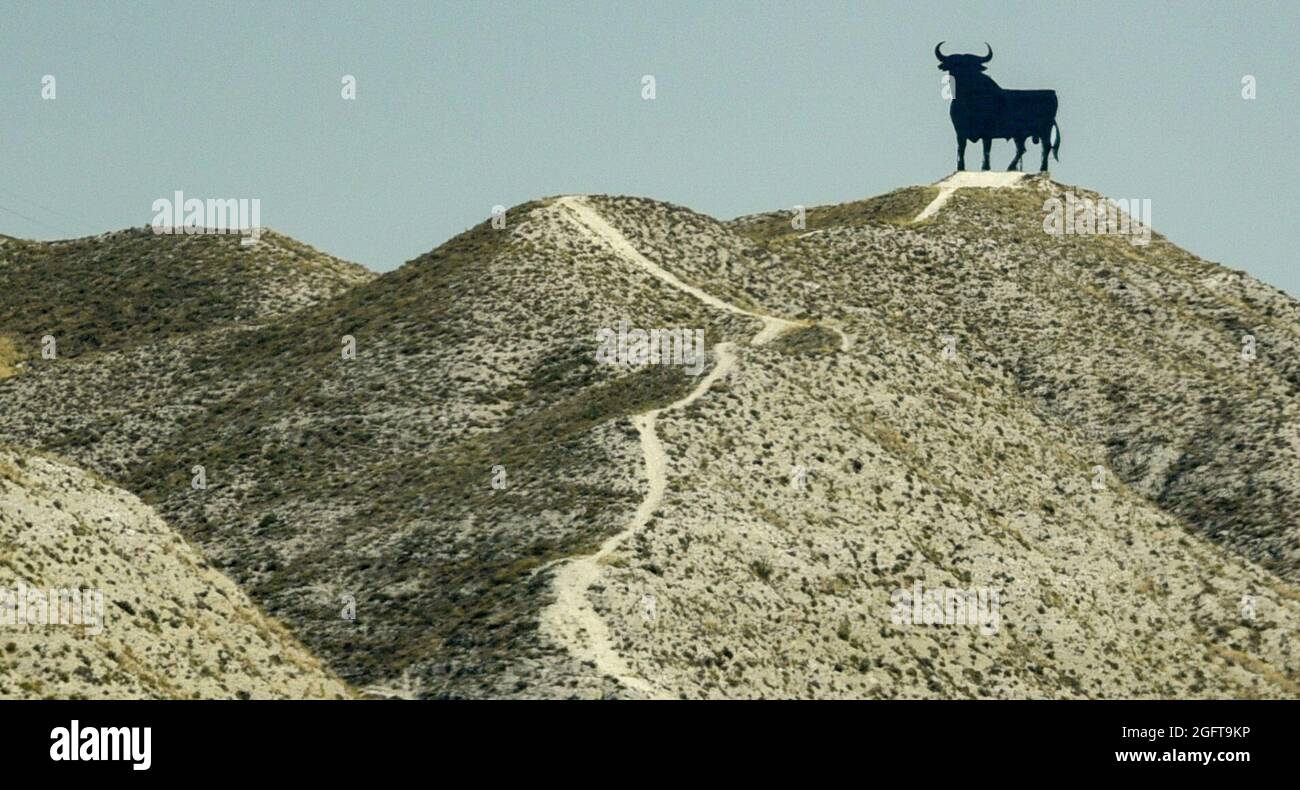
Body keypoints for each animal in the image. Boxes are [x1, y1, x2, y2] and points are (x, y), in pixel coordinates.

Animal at [936, 42, 1060, 172]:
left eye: (973, 65)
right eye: (954, 64)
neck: (969, 100)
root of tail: (1052, 93)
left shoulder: (987, 132)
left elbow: (986, 150)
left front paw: (985, 168)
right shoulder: (960, 132)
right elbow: (961, 149)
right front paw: (961, 168)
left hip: (1045, 129)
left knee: (1046, 147)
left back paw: (1042, 168)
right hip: (1020, 135)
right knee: (1022, 149)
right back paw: (1011, 167)